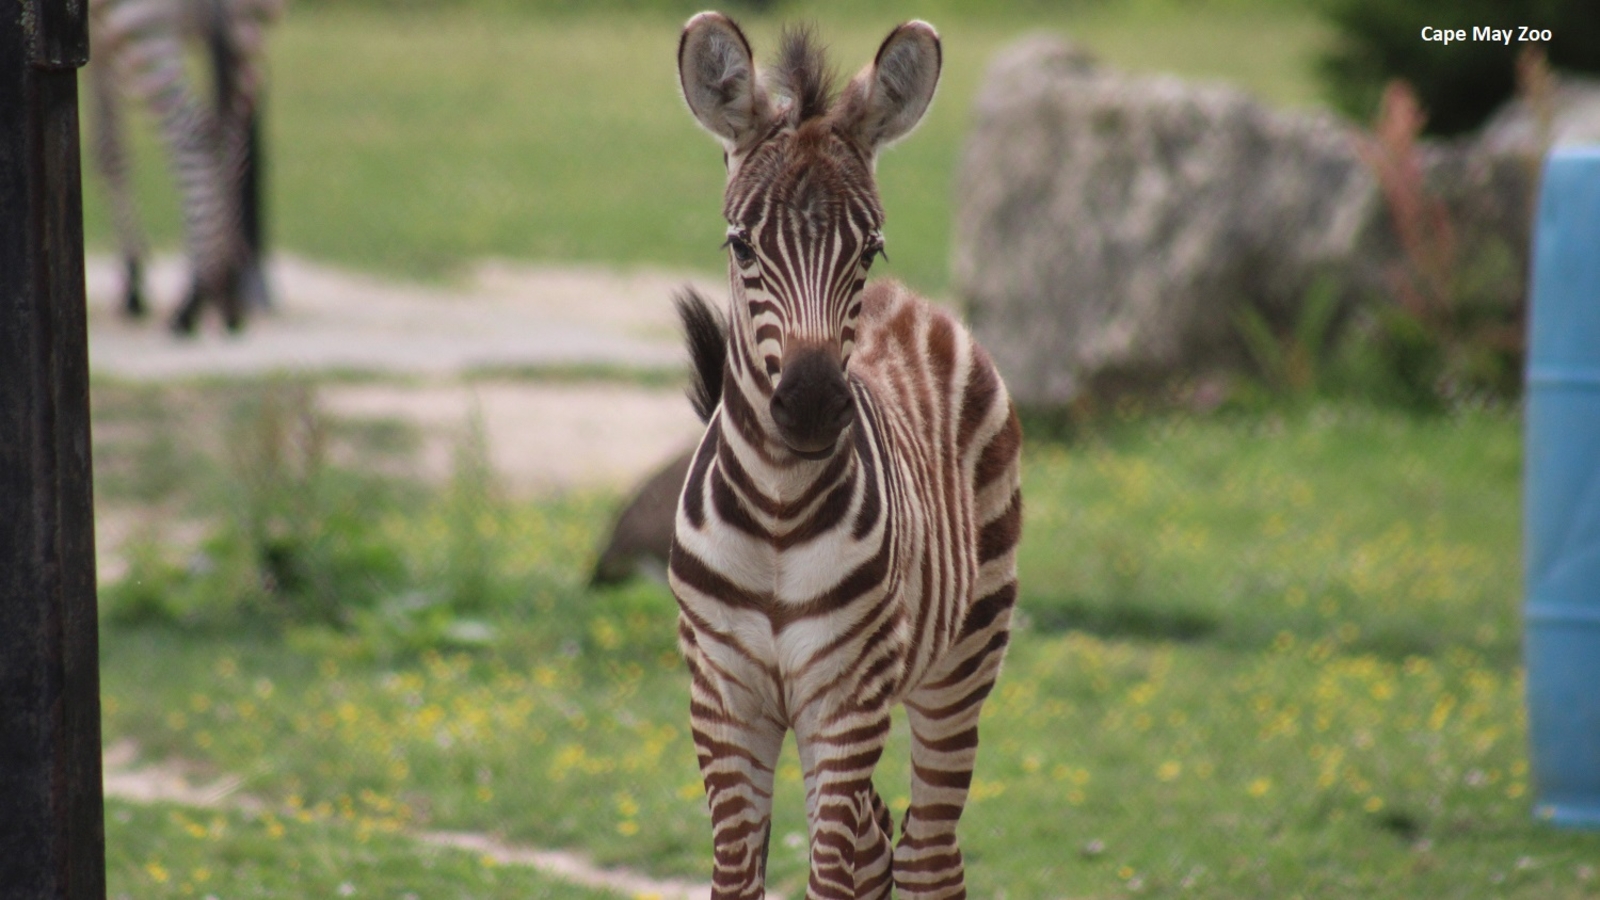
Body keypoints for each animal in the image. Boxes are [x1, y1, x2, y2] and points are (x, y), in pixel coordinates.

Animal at [86, 0, 282, 333]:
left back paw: (194, 299)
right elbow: (109, 150)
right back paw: (226, 287)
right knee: (234, 137)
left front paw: (133, 283)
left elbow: (107, 154)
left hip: (144, 26)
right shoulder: (99, 43)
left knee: (195, 135)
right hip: (249, 25)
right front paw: (133, 277)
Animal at [669, 13, 1023, 900]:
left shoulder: (848, 698)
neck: (777, 507)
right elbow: (740, 877)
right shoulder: (723, 699)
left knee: (930, 852)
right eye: (740, 245)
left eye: (869, 249)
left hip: (960, 664)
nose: (812, 404)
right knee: (879, 842)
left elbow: (829, 876)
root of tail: (916, 306)